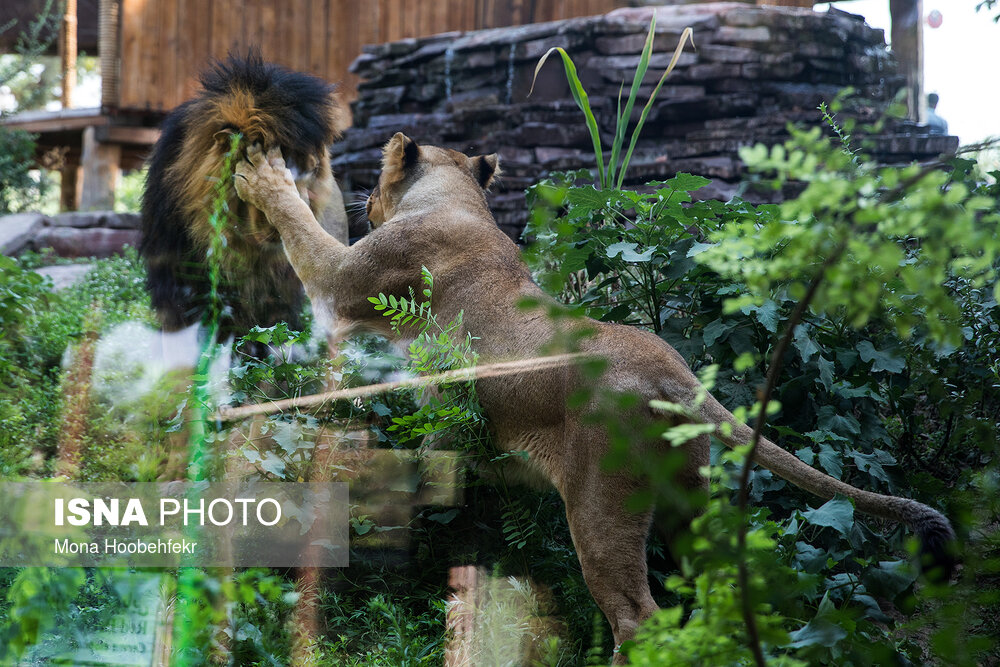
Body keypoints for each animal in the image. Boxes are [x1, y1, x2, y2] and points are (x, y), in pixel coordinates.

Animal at [232, 134, 955, 662]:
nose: (367, 201)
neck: (457, 199)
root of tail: (677, 374)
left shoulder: (347, 278)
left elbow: (304, 232)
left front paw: (261, 175)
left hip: (600, 503)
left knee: (638, 613)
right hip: (688, 507)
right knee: (709, 590)